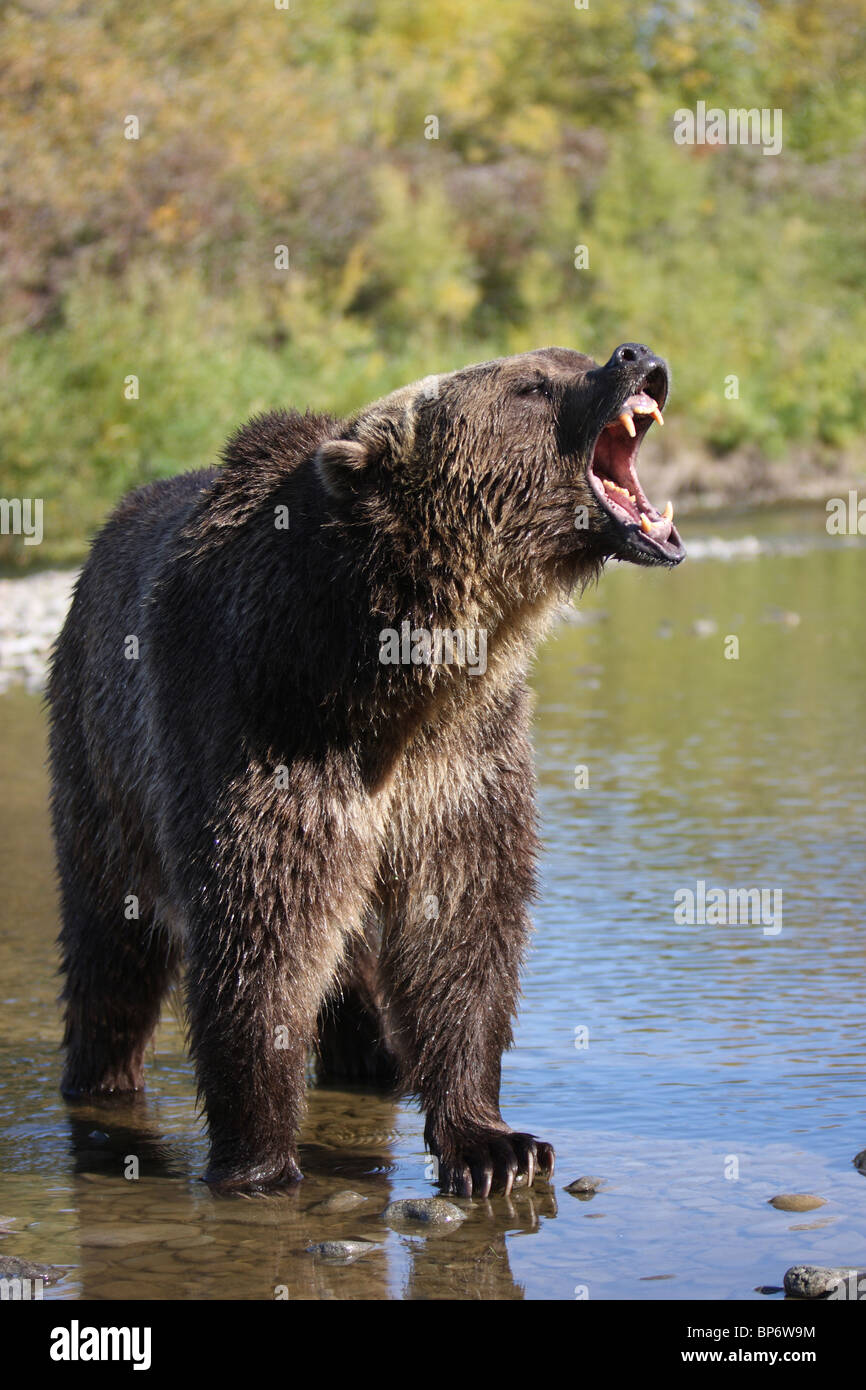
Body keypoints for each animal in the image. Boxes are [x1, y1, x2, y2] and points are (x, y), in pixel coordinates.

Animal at [47, 342, 684, 1196]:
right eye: (531, 383)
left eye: (570, 356)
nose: (634, 355)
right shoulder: (262, 729)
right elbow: (263, 928)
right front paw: (259, 1159)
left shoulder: (460, 758)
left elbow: (461, 920)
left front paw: (493, 1144)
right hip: (101, 758)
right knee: (112, 939)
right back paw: (102, 1079)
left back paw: (373, 1056)